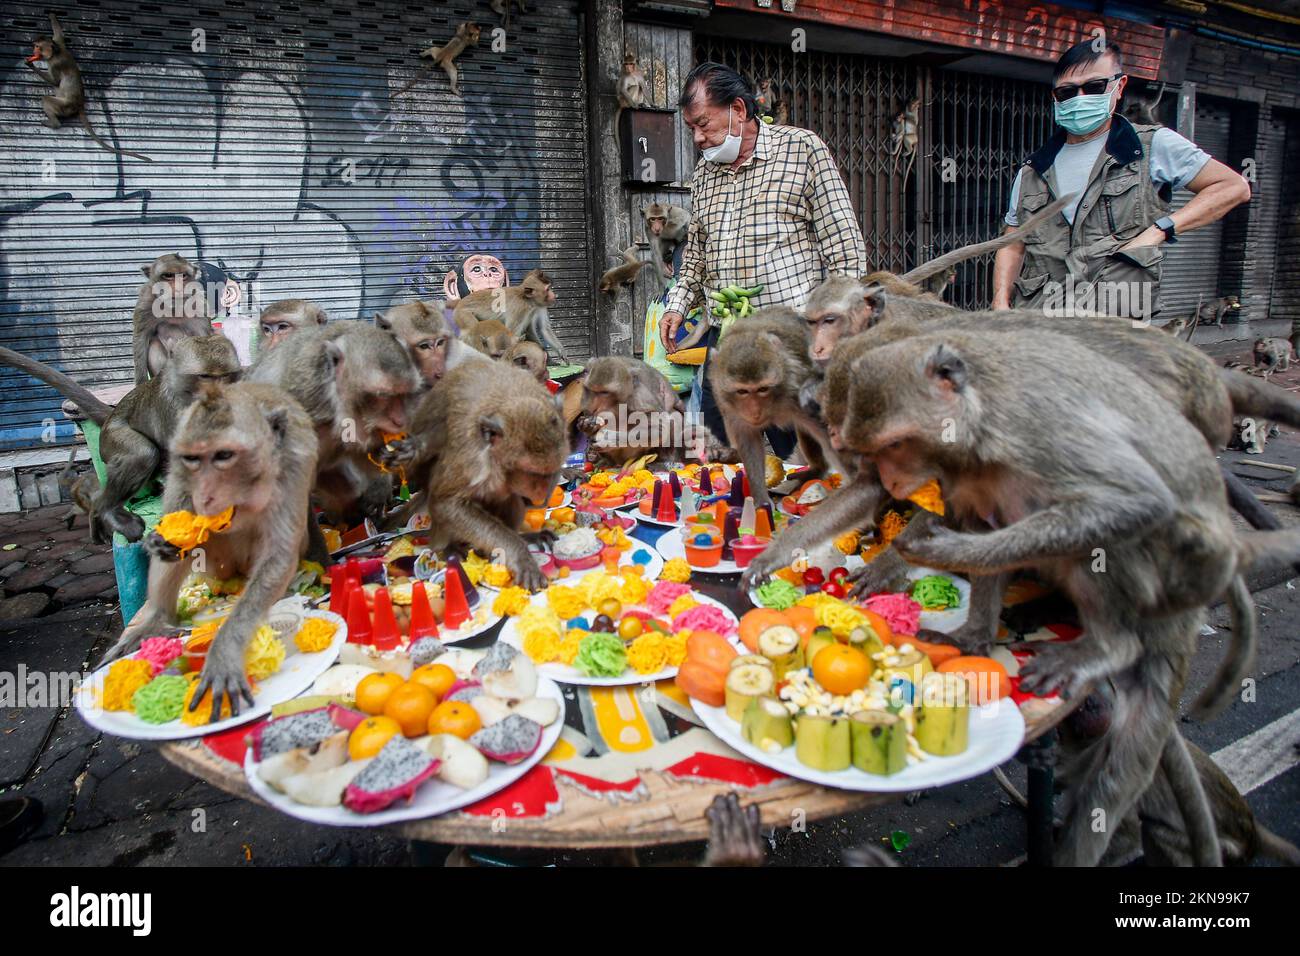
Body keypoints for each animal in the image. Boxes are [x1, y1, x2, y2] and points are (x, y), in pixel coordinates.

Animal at [0, 336, 241, 544]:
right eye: (205, 377)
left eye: (226, 375)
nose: (220, 393)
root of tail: (110, 417)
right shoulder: (177, 411)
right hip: (110, 440)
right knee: (143, 453)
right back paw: (106, 510)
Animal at [25, 14, 153, 162]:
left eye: (37, 47)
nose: (33, 51)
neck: (55, 52)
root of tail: (79, 104)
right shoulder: (59, 43)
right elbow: (59, 35)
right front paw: (52, 15)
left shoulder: (55, 64)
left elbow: (55, 81)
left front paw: (31, 65)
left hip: (66, 107)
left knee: (47, 99)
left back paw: (54, 123)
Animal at [99, 381, 319, 721]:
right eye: (193, 459)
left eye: (224, 455)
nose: (205, 495)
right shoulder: (180, 471)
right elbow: (176, 529)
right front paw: (157, 540)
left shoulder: (295, 463)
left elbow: (280, 555)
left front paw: (224, 651)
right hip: (217, 565)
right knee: (189, 547)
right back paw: (158, 619)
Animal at [131, 254, 214, 385]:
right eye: (168, 275)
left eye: (183, 276)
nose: (179, 289)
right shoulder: (145, 305)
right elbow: (140, 340)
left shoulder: (200, 306)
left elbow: (204, 337)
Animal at [708, 307, 843, 510]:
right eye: (742, 391)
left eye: (763, 389)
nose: (755, 411)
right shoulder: (726, 401)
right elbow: (749, 441)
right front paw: (761, 502)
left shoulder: (799, 389)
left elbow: (827, 432)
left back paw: (816, 471)